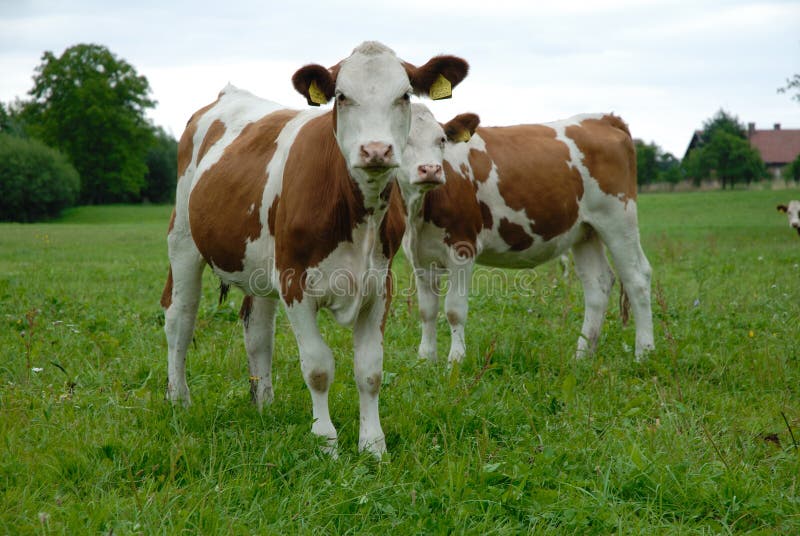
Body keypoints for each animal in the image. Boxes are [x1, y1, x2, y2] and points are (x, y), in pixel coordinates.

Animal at [160, 42, 468, 457]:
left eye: (404, 95)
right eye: (342, 96)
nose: (375, 150)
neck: (356, 212)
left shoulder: (379, 286)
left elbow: (370, 370)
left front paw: (373, 445)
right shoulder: (294, 282)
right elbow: (318, 367)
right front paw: (326, 441)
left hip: (260, 267)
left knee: (257, 331)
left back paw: (265, 404)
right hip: (183, 241)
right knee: (180, 317)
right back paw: (179, 399)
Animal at [397, 104, 654, 363]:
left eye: (441, 139)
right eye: (402, 140)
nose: (431, 169)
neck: (420, 211)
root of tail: (602, 118)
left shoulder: (462, 247)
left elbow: (454, 311)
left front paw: (456, 361)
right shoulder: (420, 257)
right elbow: (427, 311)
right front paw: (426, 360)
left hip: (618, 219)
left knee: (637, 278)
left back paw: (644, 353)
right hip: (585, 231)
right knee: (597, 283)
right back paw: (582, 356)